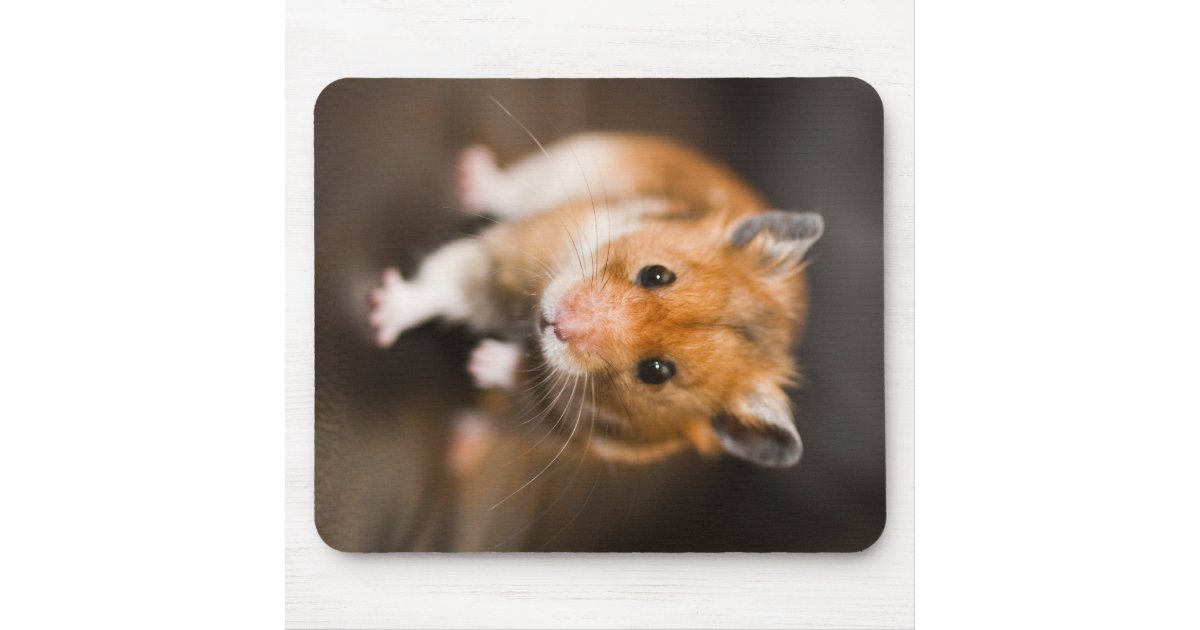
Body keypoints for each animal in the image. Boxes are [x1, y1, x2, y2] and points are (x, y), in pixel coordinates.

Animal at [369, 132, 823, 468]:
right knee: (507, 185)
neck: (526, 317)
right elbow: (446, 281)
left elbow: (523, 380)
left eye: (655, 372)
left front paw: (483, 362)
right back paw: (469, 172)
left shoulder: (569, 430)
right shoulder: (512, 250)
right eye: (656, 274)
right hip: (581, 155)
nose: (556, 321)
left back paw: (461, 451)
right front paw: (380, 316)